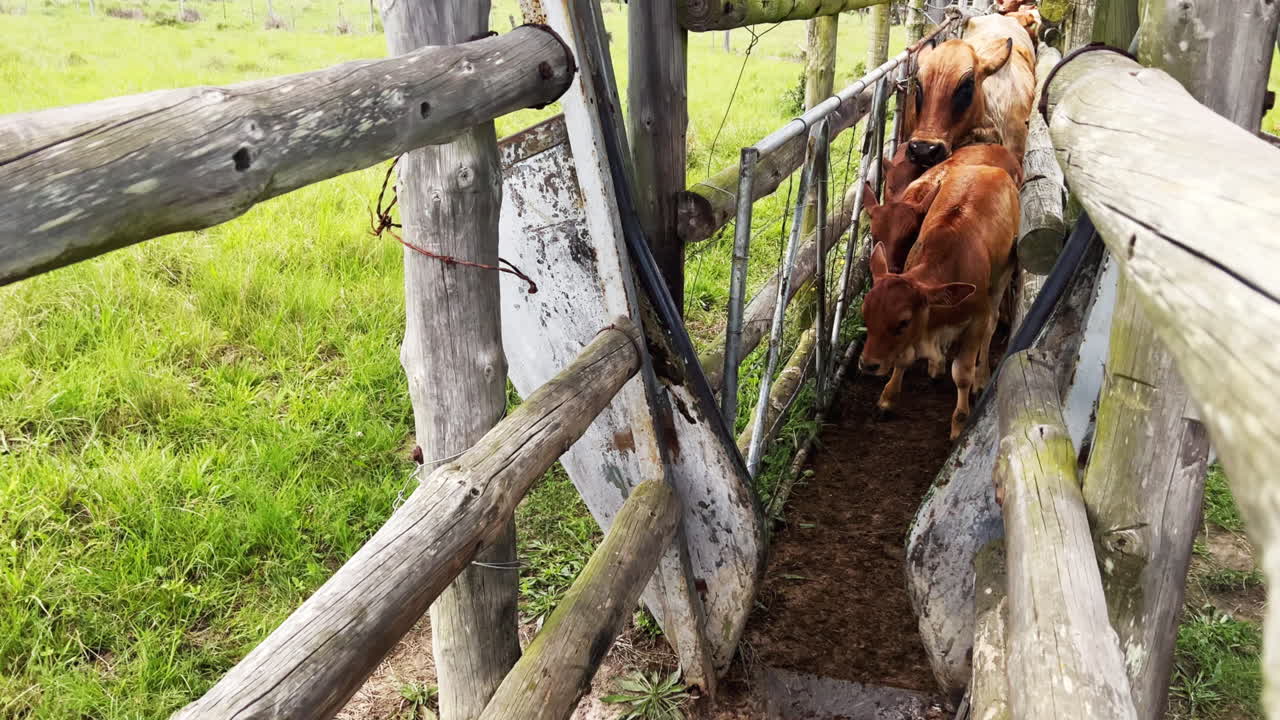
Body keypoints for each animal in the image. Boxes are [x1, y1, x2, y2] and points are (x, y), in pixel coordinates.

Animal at [858, 164, 1019, 440]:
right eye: (865, 316)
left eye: (903, 322)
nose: (868, 365)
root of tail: (991, 168)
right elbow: (903, 359)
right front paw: (887, 399)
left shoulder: (976, 319)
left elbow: (962, 373)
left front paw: (959, 423)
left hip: (1003, 272)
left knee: (993, 323)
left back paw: (981, 377)